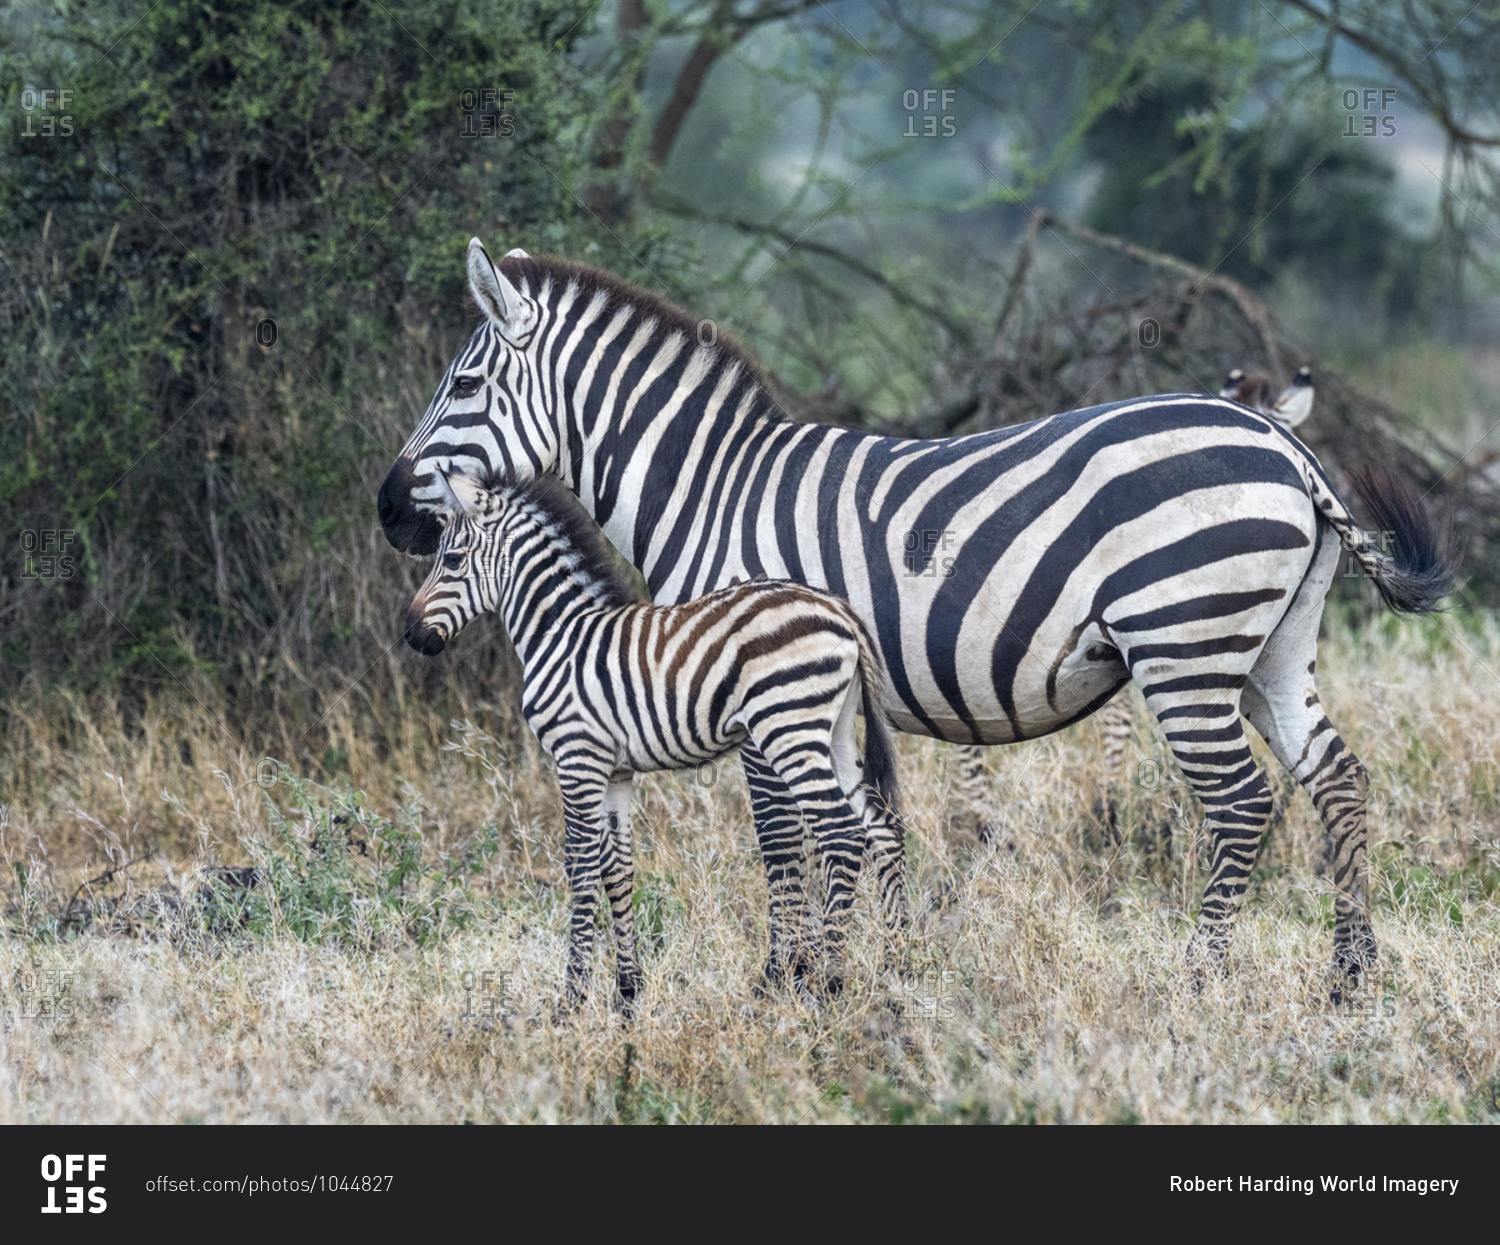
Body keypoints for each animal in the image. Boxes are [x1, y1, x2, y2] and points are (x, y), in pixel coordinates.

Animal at [403, 471, 909, 1005]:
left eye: (452, 560)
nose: (411, 635)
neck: (560, 634)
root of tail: (839, 608)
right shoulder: (615, 771)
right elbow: (618, 870)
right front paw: (628, 990)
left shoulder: (577, 757)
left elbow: (580, 868)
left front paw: (573, 995)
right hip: (835, 733)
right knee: (878, 825)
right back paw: (895, 962)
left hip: (788, 727)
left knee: (839, 831)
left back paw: (831, 979)